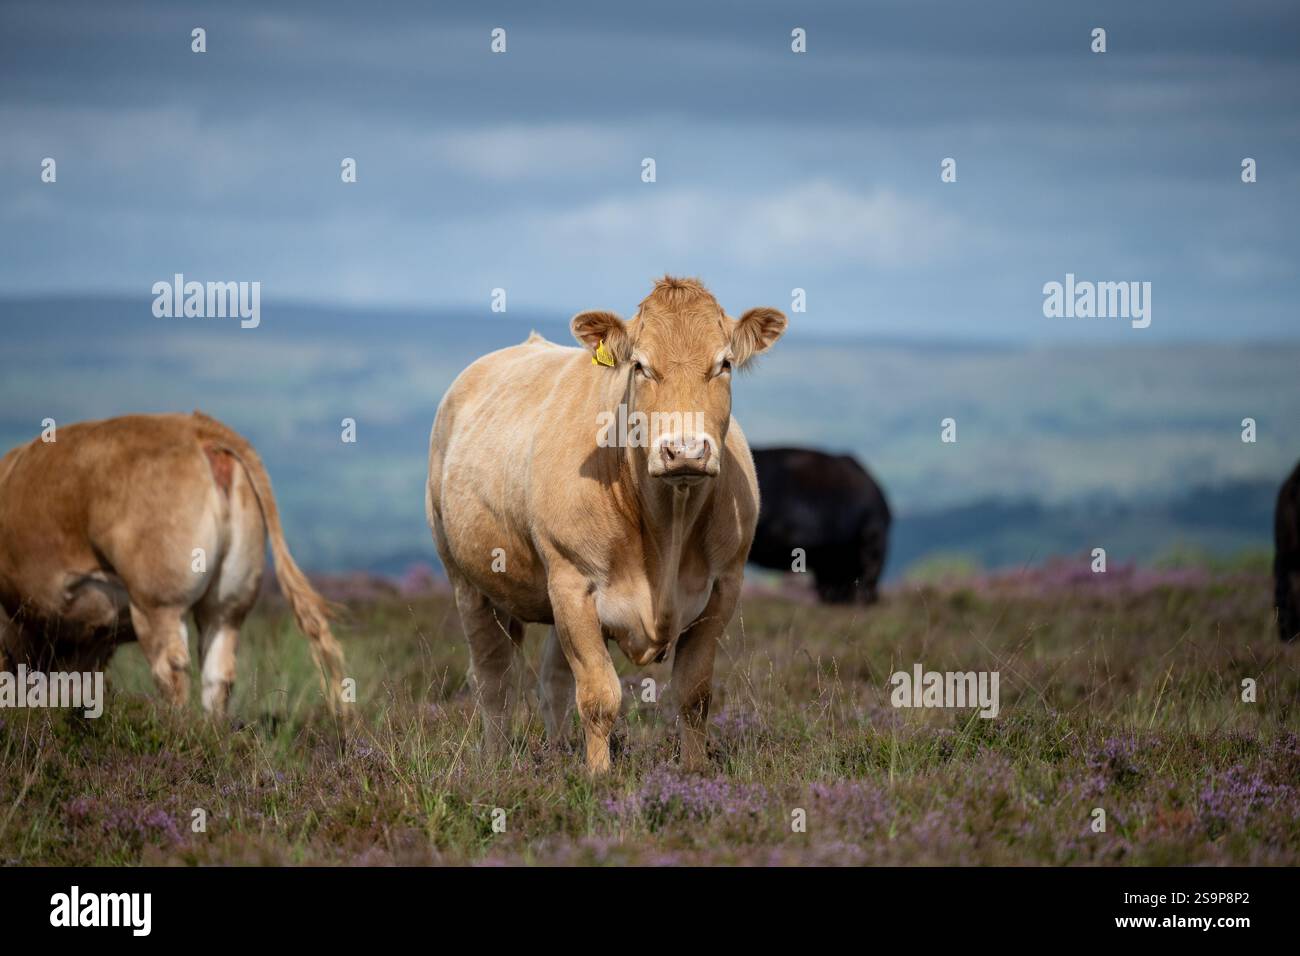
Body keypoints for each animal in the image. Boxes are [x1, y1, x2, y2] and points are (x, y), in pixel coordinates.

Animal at [426, 276, 787, 773]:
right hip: (468, 581)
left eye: (724, 363)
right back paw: (496, 761)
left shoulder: (723, 586)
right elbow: (599, 696)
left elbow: (693, 695)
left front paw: (693, 771)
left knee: (551, 683)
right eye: (640, 366)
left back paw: (558, 751)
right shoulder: (572, 582)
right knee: (494, 680)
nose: (686, 451)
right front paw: (598, 778)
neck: (667, 532)